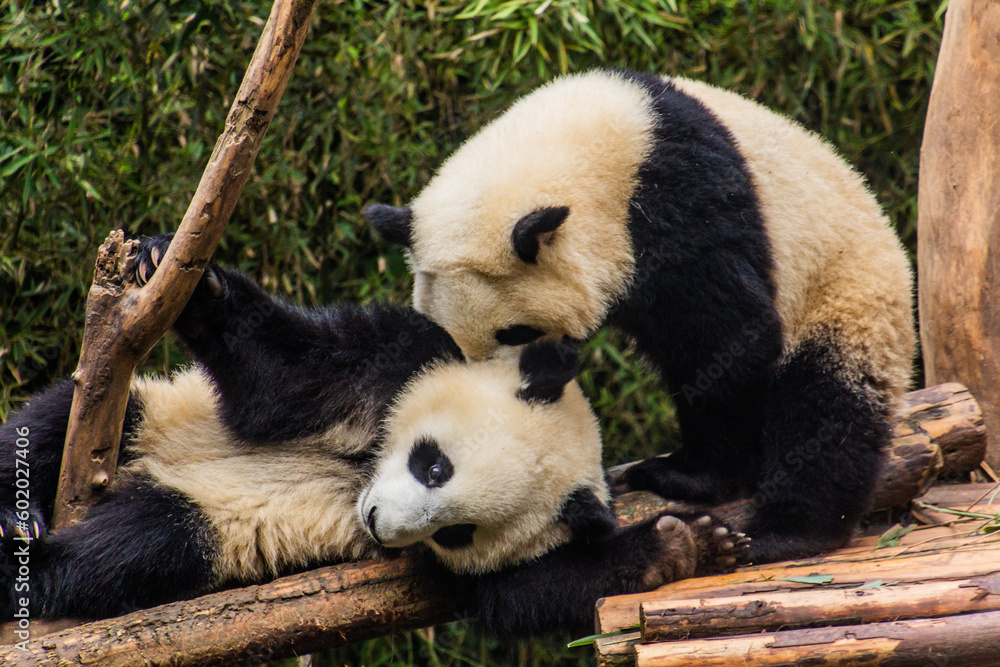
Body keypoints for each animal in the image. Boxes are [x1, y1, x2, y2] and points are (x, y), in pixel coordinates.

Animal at [0, 233, 741, 636]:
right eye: (432, 464)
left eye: (457, 532)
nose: (380, 523)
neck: (364, 464)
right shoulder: (396, 359)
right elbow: (280, 375)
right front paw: (178, 270)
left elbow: (521, 589)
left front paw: (684, 544)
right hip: (153, 415)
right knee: (54, 424)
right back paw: (18, 520)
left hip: (203, 520)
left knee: (138, 544)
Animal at [365, 68, 916, 565]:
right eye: (450, 339)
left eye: (516, 331)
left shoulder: (677, 207)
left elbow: (727, 341)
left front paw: (688, 475)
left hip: (843, 298)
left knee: (825, 413)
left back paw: (788, 533)